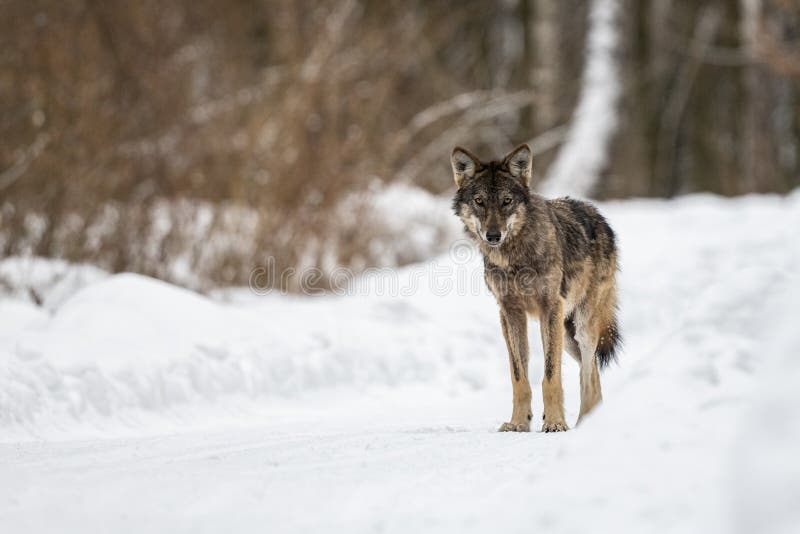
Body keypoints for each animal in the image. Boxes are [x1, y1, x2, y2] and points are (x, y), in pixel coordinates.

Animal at [451, 144, 620, 432]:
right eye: (480, 201)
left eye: (507, 201)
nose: (493, 235)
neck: (514, 257)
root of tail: (598, 215)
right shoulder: (510, 313)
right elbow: (519, 376)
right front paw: (518, 423)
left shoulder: (550, 307)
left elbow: (550, 376)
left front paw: (554, 422)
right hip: (566, 335)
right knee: (594, 370)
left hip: (581, 327)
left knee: (588, 372)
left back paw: (583, 423)